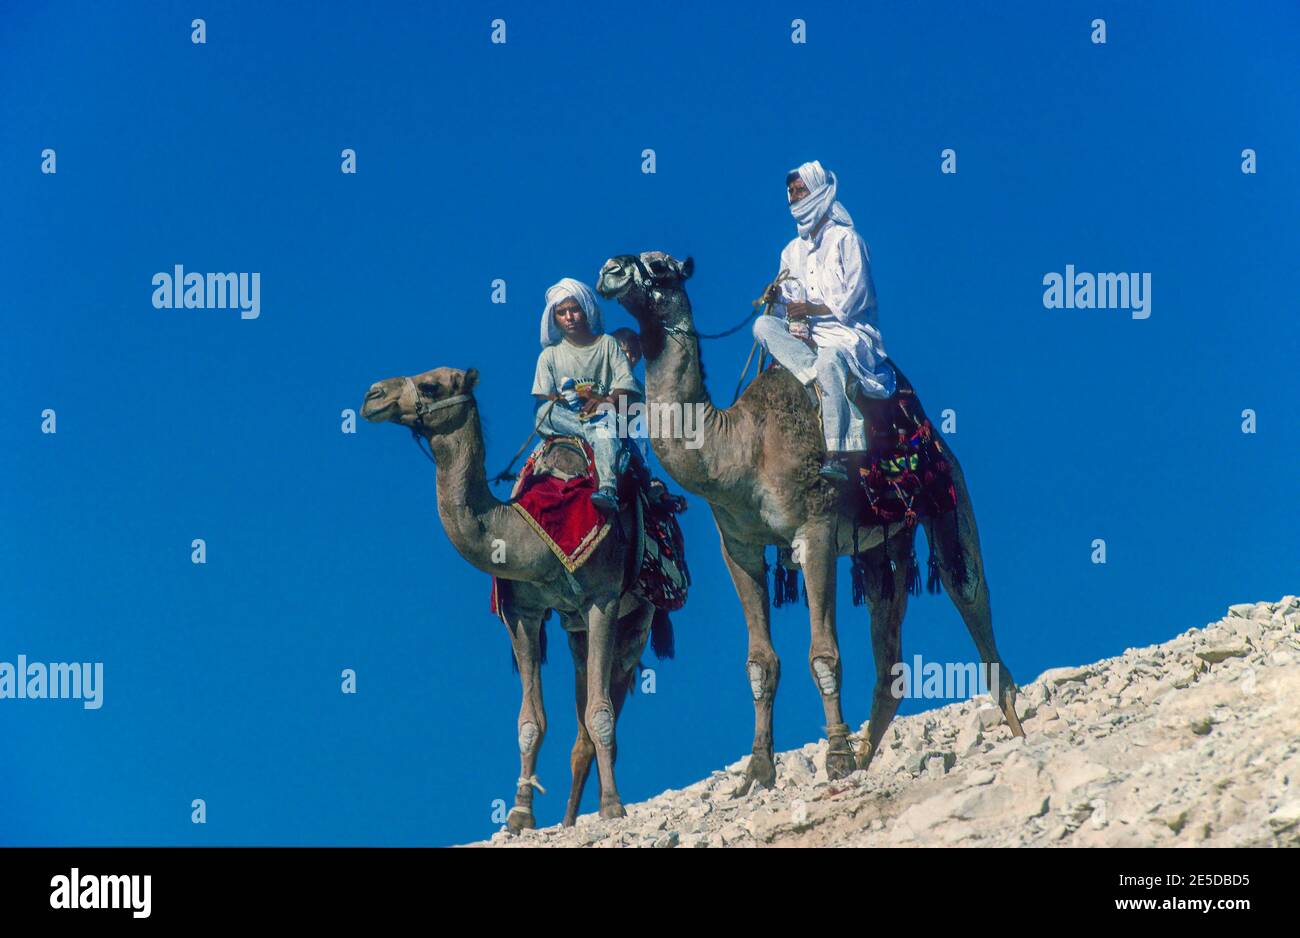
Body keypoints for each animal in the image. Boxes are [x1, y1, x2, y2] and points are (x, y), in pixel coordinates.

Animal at [361, 365, 664, 830]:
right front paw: (519, 815)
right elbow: (530, 721)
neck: (526, 531)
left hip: (637, 621)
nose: (372, 395)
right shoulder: (523, 611)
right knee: (580, 725)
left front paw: (613, 806)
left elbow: (601, 713)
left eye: (431, 384)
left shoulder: (603, 600)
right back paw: (570, 819)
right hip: (576, 631)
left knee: (604, 701)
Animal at [596, 252, 1025, 793]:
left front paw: (835, 757)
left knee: (968, 592)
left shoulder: (814, 529)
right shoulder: (738, 546)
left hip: (949, 494)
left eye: (658, 264)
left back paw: (1014, 730)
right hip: (882, 545)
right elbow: (760, 663)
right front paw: (757, 771)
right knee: (889, 652)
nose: (610, 269)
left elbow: (824, 654)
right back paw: (866, 756)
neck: (740, 449)